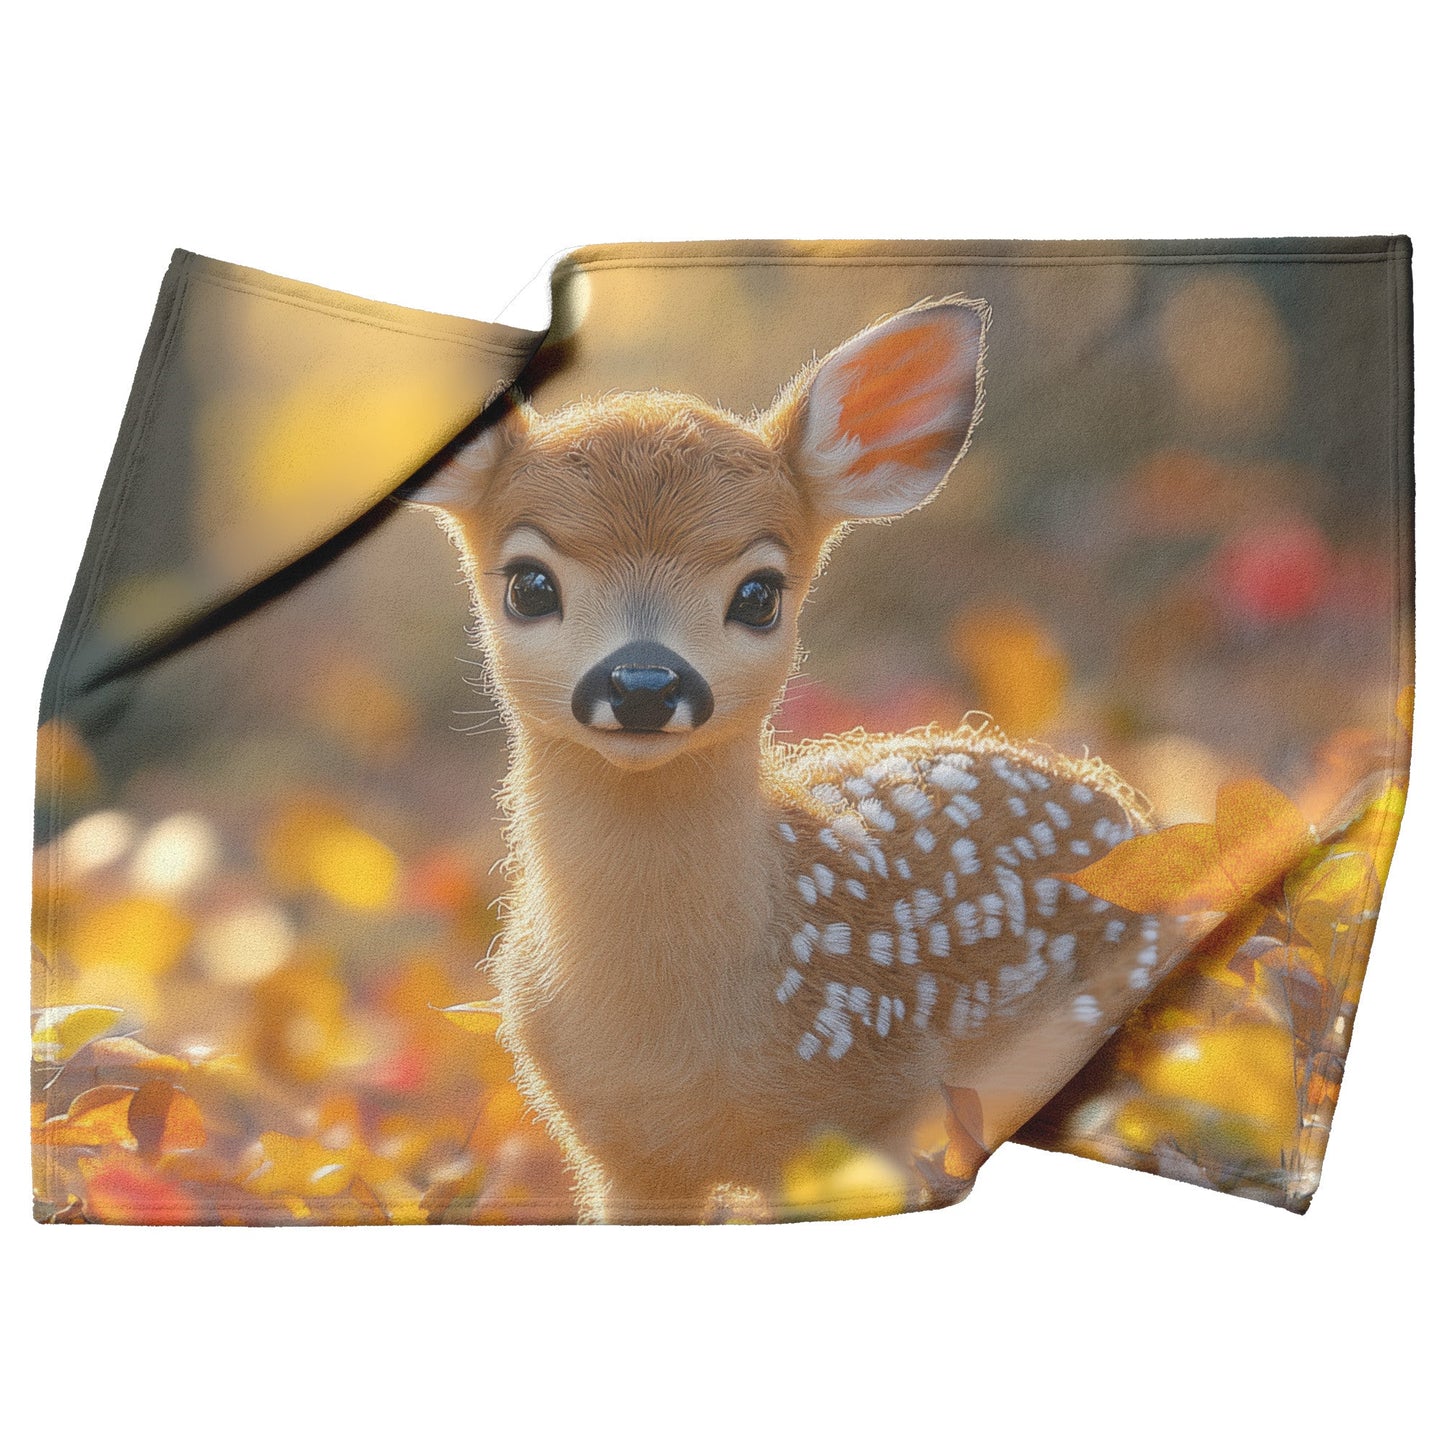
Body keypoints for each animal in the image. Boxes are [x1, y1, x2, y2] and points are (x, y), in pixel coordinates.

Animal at [410, 296, 1173, 1222]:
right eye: (529, 583)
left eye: (758, 593)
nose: (642, 682)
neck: (667, 1038)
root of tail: (1120, 799)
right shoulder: (614, 1150)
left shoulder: (866, 1104)